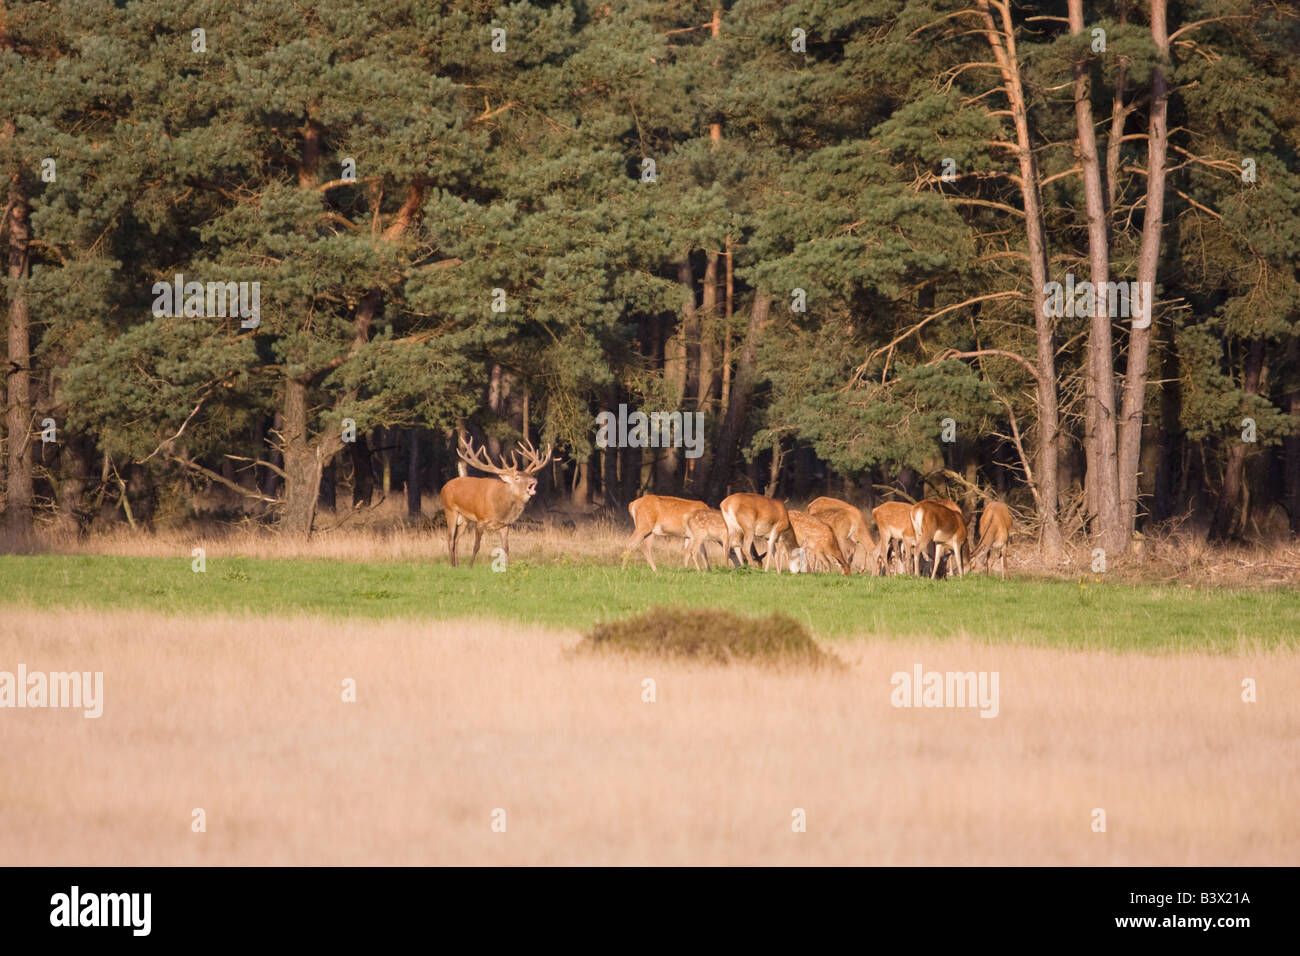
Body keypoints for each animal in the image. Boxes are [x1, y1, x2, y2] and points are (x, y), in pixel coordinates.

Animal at [439, 436, 553, 567]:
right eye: (517, 478)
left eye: (530, 474)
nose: (534, 480)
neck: (500, 510)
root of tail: (444, 487)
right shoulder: (481, 520)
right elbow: (476, 546)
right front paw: (470, 566)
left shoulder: (505, 525)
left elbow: (506, 547)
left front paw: (508, 566)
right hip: (450, 510)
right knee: (450, 538)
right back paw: (452, 564)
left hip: (464, 519)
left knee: (457, 539)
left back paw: (457, 565)